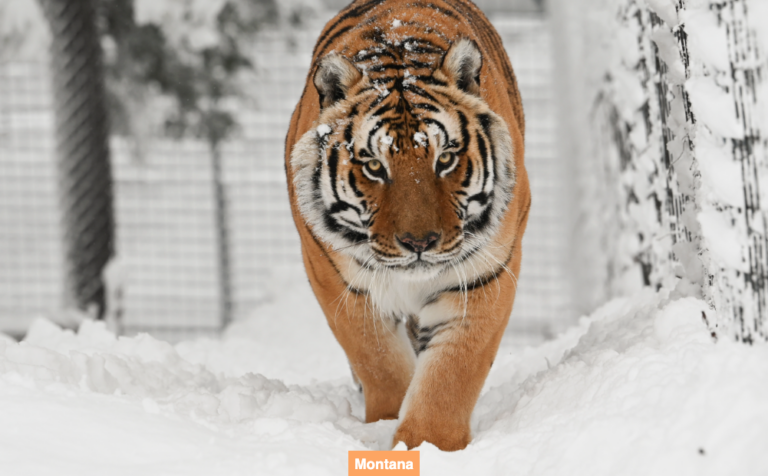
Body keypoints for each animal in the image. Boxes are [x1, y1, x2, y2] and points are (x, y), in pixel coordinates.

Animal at [284, 0, 530, 451]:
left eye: (445, 159)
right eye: (374, 166)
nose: (420, 242)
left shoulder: (486, 272)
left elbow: (453, 370)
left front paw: (427, 445)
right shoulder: (335, 278)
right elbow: (378, 360)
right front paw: (387, 426)